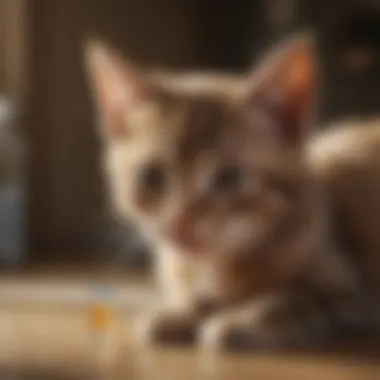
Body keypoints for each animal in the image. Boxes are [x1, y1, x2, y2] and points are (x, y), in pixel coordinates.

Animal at [84, 35, 372, 350]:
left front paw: (239, 319)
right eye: (151, 176)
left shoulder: (350, 296)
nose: (179, 223)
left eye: (229, 178)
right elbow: (199, 301)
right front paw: (182, 313)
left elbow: (290, 300)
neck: (216, 265)